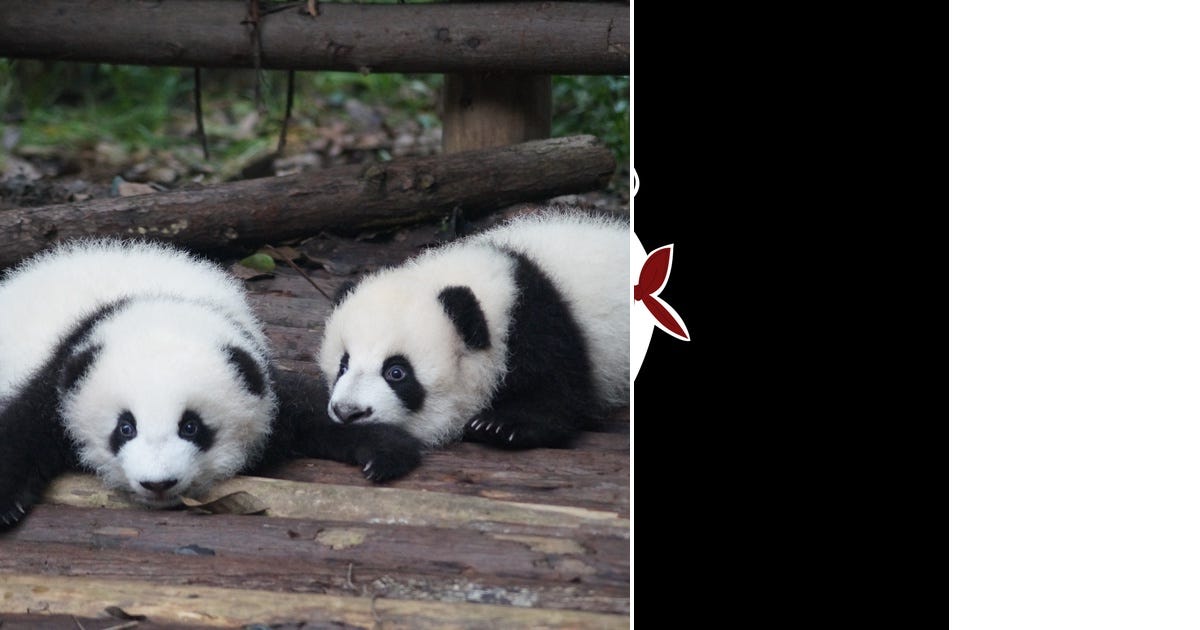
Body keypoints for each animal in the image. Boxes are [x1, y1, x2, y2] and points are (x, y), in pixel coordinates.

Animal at [0, 239, 422, 530]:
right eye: (125, 428)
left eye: (191, 426)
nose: (158, 483)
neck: (157, 306)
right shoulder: (62, 374)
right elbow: (23, 430)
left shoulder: (257, 373)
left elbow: (311, 409)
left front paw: (385, 450)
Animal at [319, 208, 629, 449]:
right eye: (343, 366)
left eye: (396, 372)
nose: (348, 412)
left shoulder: (540, 322)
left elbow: (559, 393)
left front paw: (499, 426)